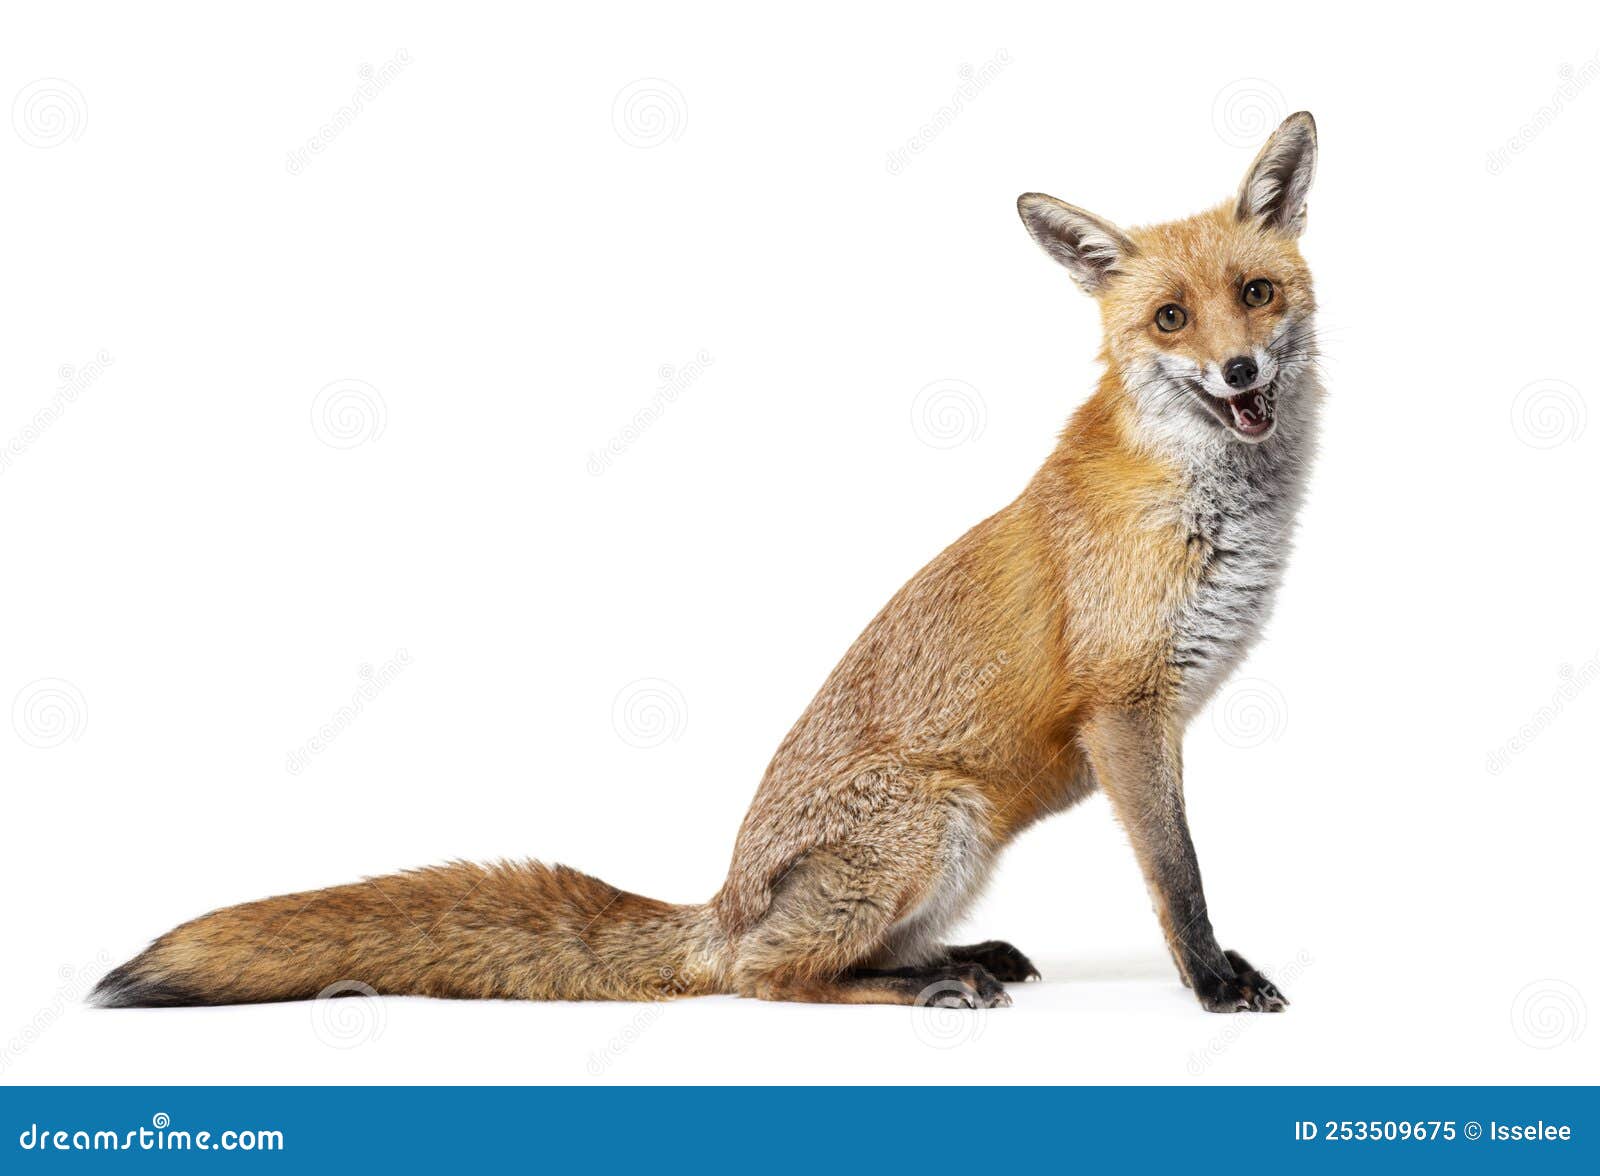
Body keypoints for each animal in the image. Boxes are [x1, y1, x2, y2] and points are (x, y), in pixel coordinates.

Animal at [94, 112, 1320, 1014]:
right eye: (1170, 319)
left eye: (1255, 295)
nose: (1240, 371)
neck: (1213, 504)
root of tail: (719, 902)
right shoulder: (1123, 709)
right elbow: (1177, 879)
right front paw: (1215, 987)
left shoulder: (1155, 717)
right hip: (934, 823)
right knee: (768, 978)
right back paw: (919, 987)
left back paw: (952, 960)